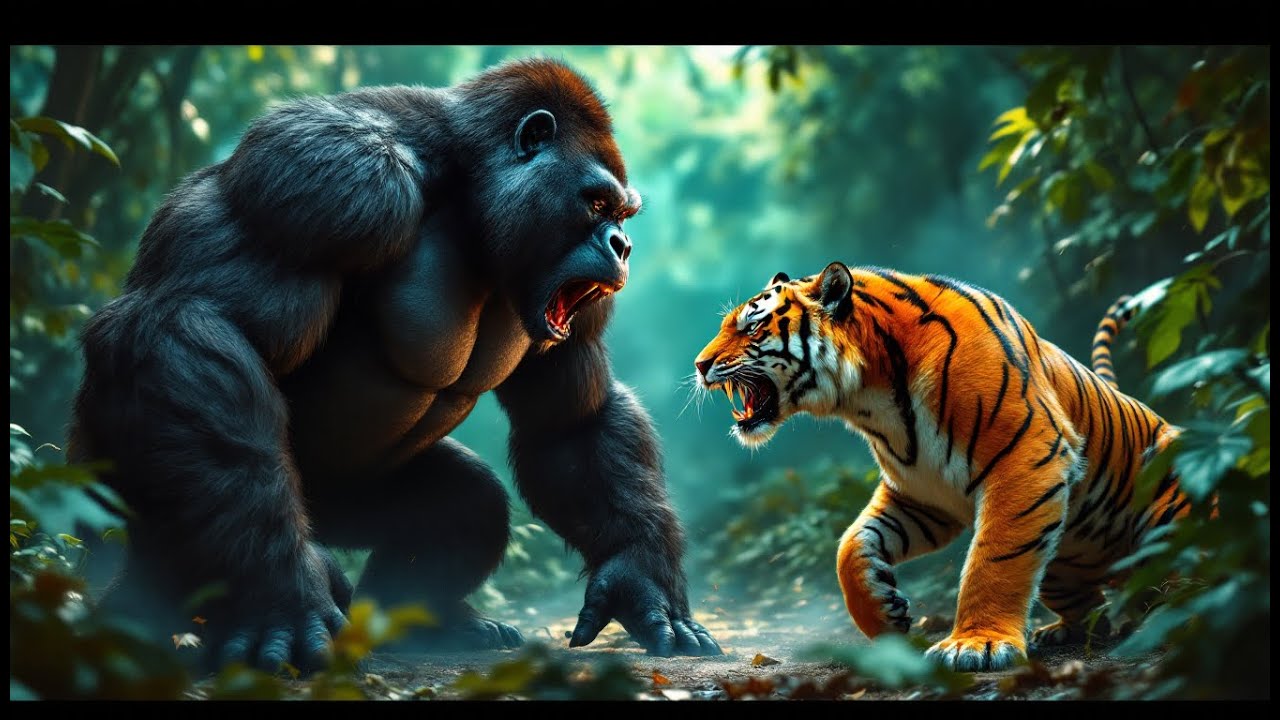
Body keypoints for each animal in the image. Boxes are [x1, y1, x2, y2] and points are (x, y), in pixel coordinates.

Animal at [69, 58, 721, 672]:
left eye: (623, 215)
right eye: (596, 203)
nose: (622, 246)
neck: (467, 189)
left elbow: (571, 423)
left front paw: (638, 577)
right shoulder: (335, 176)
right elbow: (192, 323)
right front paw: (275, 596)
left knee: (470, 504)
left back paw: (418, 623)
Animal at [693, 262, 1189, 672]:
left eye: (753, 326)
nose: (699, 365)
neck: (871, 397)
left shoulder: (1027, 457)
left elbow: (995, 558)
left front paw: (976, 645)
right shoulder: (920, 494)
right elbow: (850, 546)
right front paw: (885, 613)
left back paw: (1174, 606)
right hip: (1062, 564)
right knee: (1095, 611)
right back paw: (1062, 631)